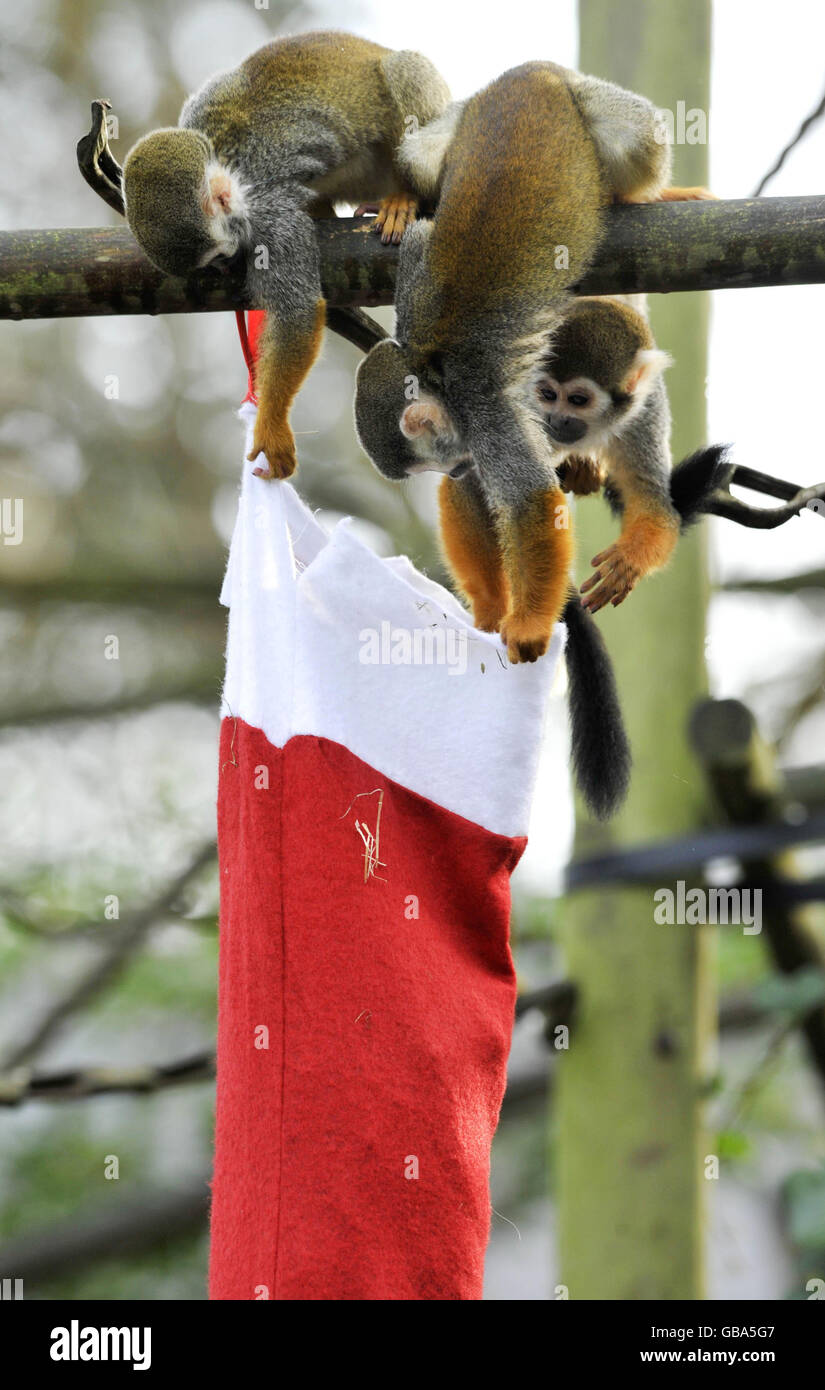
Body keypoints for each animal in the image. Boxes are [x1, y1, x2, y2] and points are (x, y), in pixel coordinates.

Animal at [121, 31, 450, 483]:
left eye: (220, 253)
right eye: (213, 263)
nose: (227, 263)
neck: (224, 159)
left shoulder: (267, 210)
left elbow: (296, 311)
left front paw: (272, 428)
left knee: (406, 69)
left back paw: (407, 195)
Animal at [354, 61, 712, 668]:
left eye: (431, 464)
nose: (456, 471)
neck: (429, 366)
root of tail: (530, 75)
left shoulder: (481, 404)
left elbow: (531, 502)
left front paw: (525, 626)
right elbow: (424, 244)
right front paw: (493, 608)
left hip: (602, 109)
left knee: (641, 138)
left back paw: (647, 192)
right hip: (452, 127)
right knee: (419, 153)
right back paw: (406, 193)